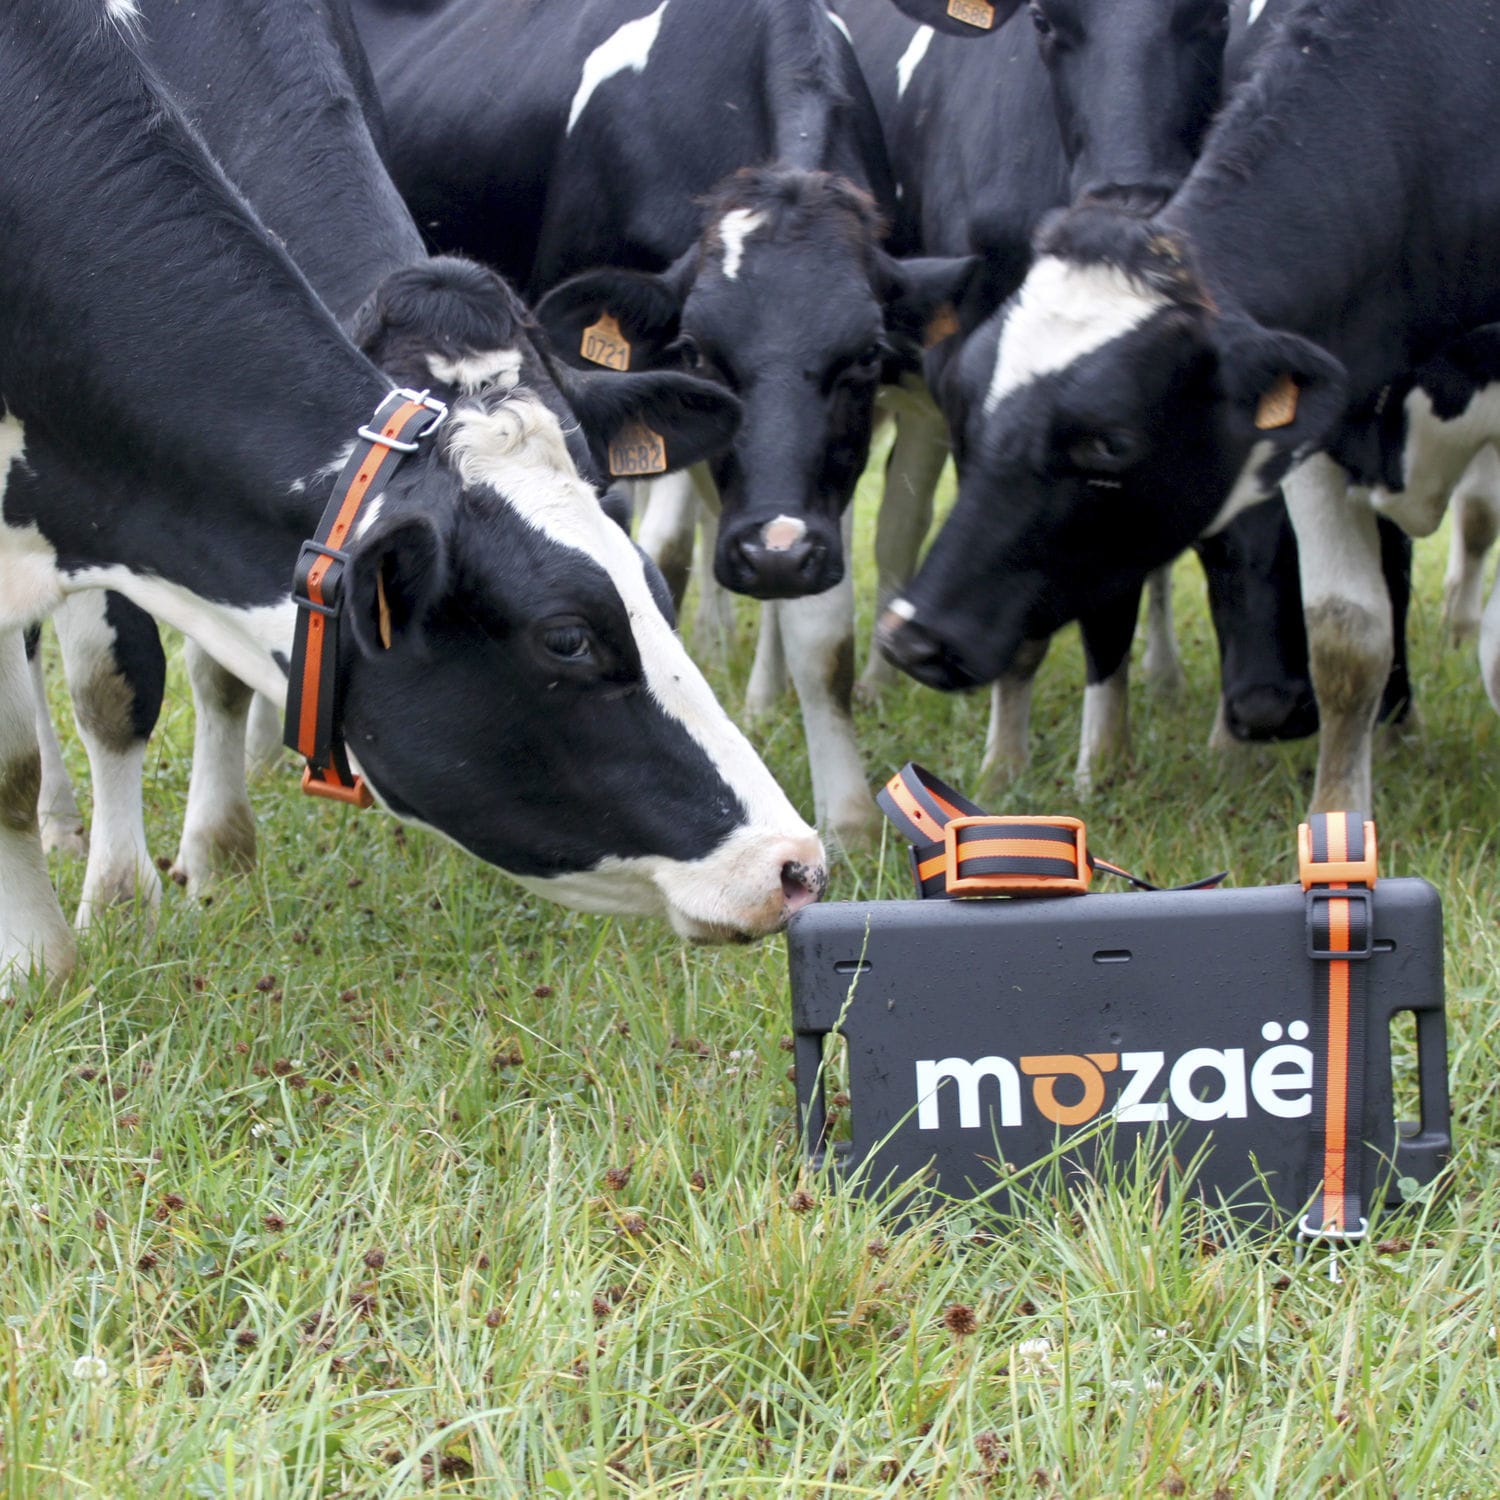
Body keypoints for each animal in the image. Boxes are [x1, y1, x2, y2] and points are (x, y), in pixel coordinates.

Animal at [0, 0, 827, 996]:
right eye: (569, 637)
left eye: (650, 583)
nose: (794, 865)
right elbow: (86, 708)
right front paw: (69, 941)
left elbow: (214, 669)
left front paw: (217, 854)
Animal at [351, 0, 979, 845]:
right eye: (697, 350)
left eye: (867, 355)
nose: (771, 554)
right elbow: (656, 559)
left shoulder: (820, 485)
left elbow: (823, 633)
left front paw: (846, 814)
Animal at [876, 0, 1500, 814]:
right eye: (971, 416)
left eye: (1110, 443)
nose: (912, 638)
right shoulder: (1321, 408)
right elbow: (1347, 636)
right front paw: (1337, 815)